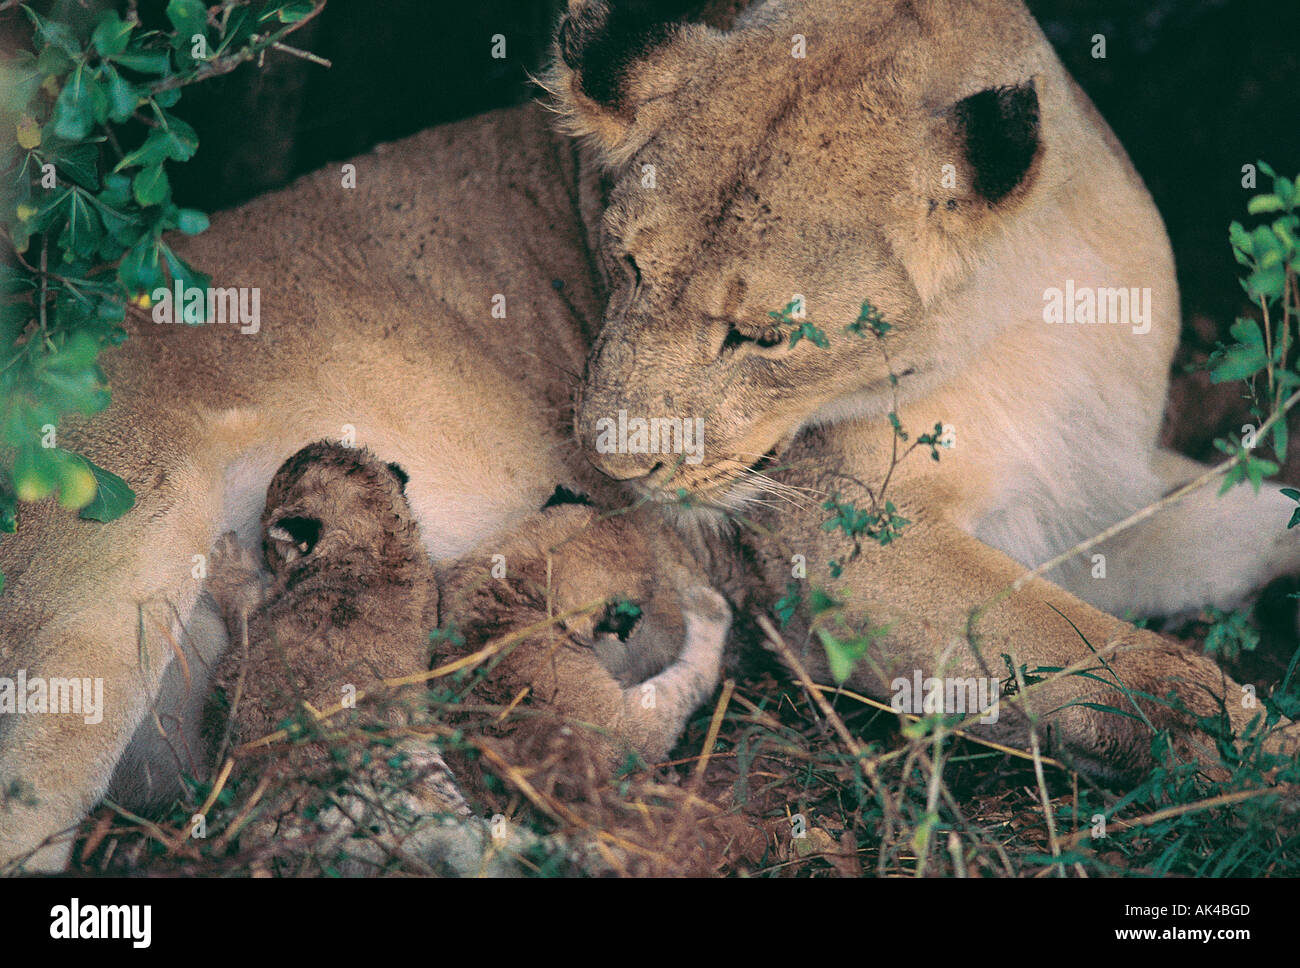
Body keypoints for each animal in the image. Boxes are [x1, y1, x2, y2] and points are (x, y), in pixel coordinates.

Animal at [1, 0, 1296, 871]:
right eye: (623, 264)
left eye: (764, 334)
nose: (614, 468)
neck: (1030, 311)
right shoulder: (842, 555)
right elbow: (1140, 671)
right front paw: (1262, 767)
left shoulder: (1096, 508)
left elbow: (1253, 520)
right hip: (96, 584)